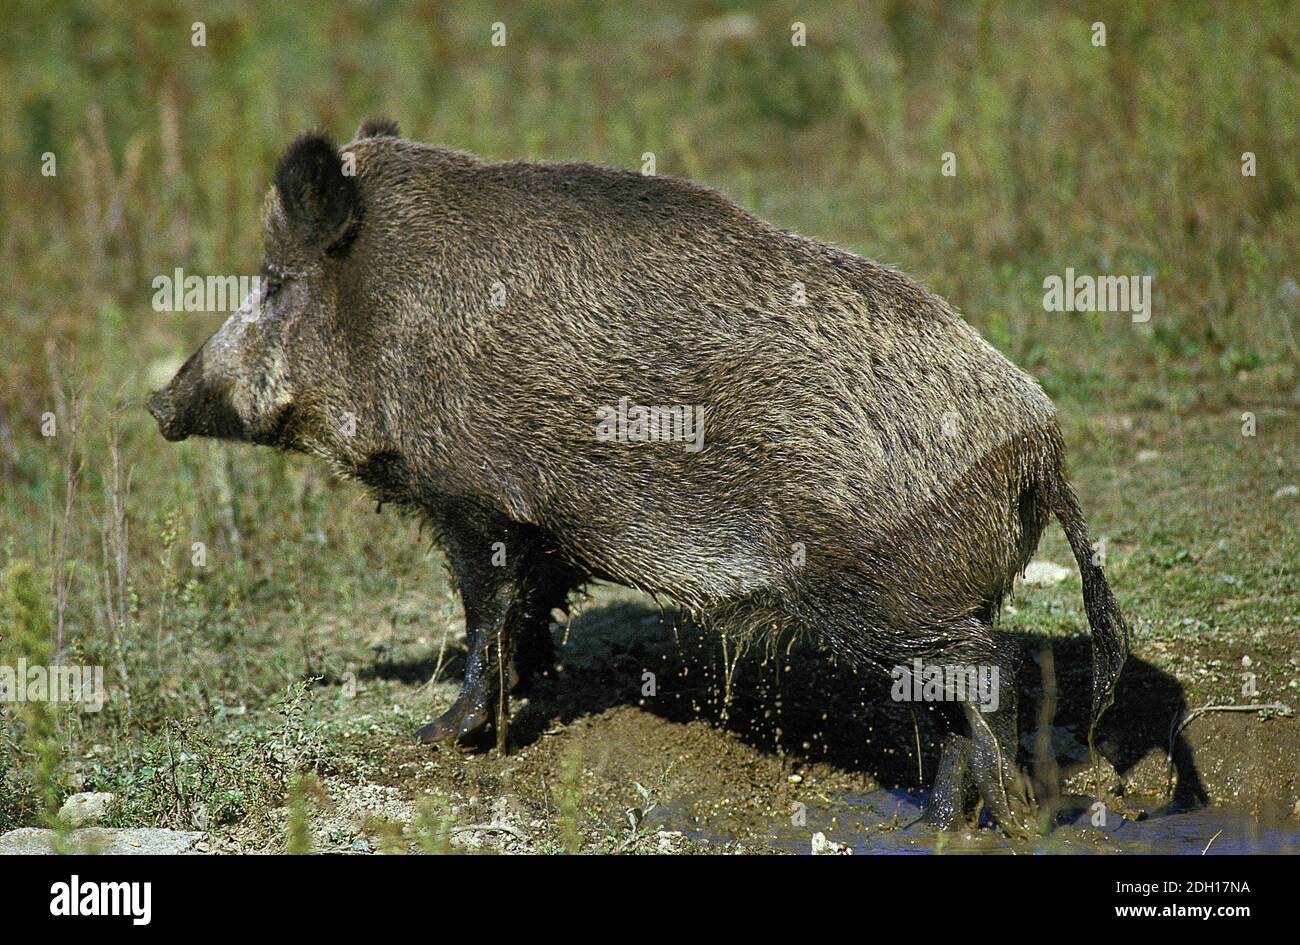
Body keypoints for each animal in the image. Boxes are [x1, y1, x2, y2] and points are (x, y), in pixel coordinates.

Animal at [147, 118, 1130, 837]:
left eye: (274, 282)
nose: (159, 403)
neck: (389, 314)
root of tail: (1039, 440)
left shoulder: (476, 499)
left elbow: (484, 616)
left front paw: (436, 738)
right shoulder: (541, 527)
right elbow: (526, 616)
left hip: (880, 591)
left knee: (990, 673)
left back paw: (1004, 817)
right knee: (949, 711)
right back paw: (933, 822)